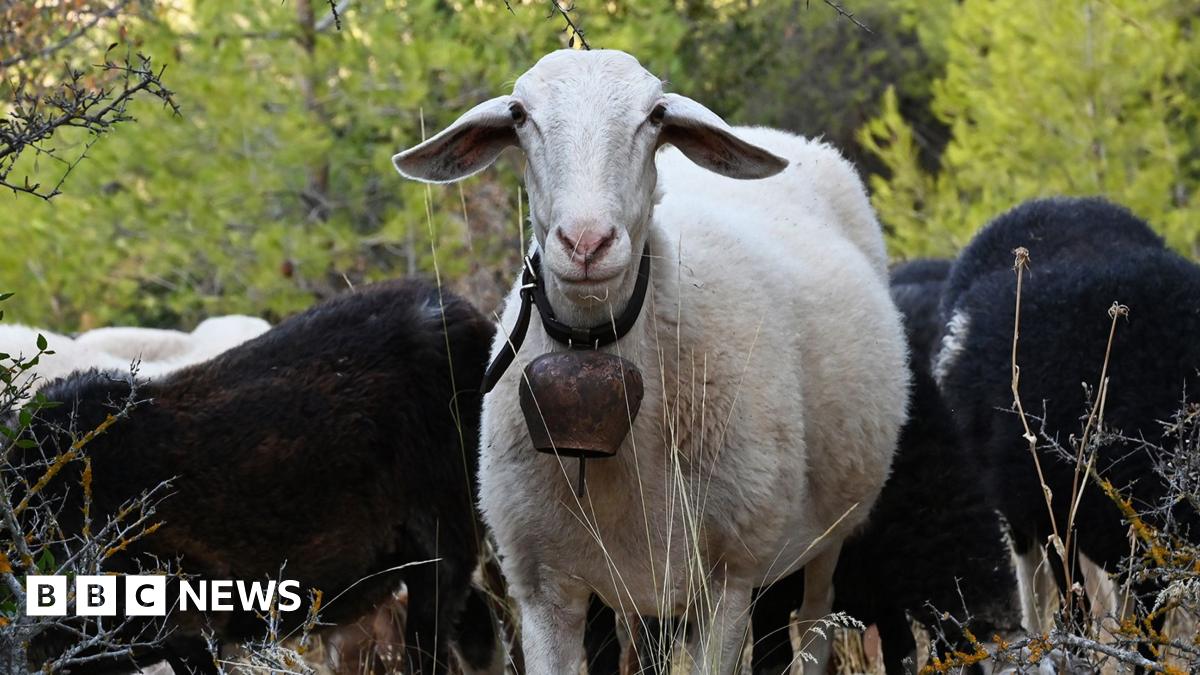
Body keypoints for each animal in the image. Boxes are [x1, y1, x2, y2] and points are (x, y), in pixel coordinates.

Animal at [392, 49, 909, 674]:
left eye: (657, 115)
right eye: (518, 115)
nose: (586, 243)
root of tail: (780, 135)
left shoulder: (726, 584)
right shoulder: (541, 587)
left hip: (824, 531)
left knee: (813, 619)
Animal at [934, 197, 1200, 636]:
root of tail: (1049, 203)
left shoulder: (1149, 542)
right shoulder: (1055, 514)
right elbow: (1077, 615)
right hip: (1026, 503)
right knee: (1033, 579)